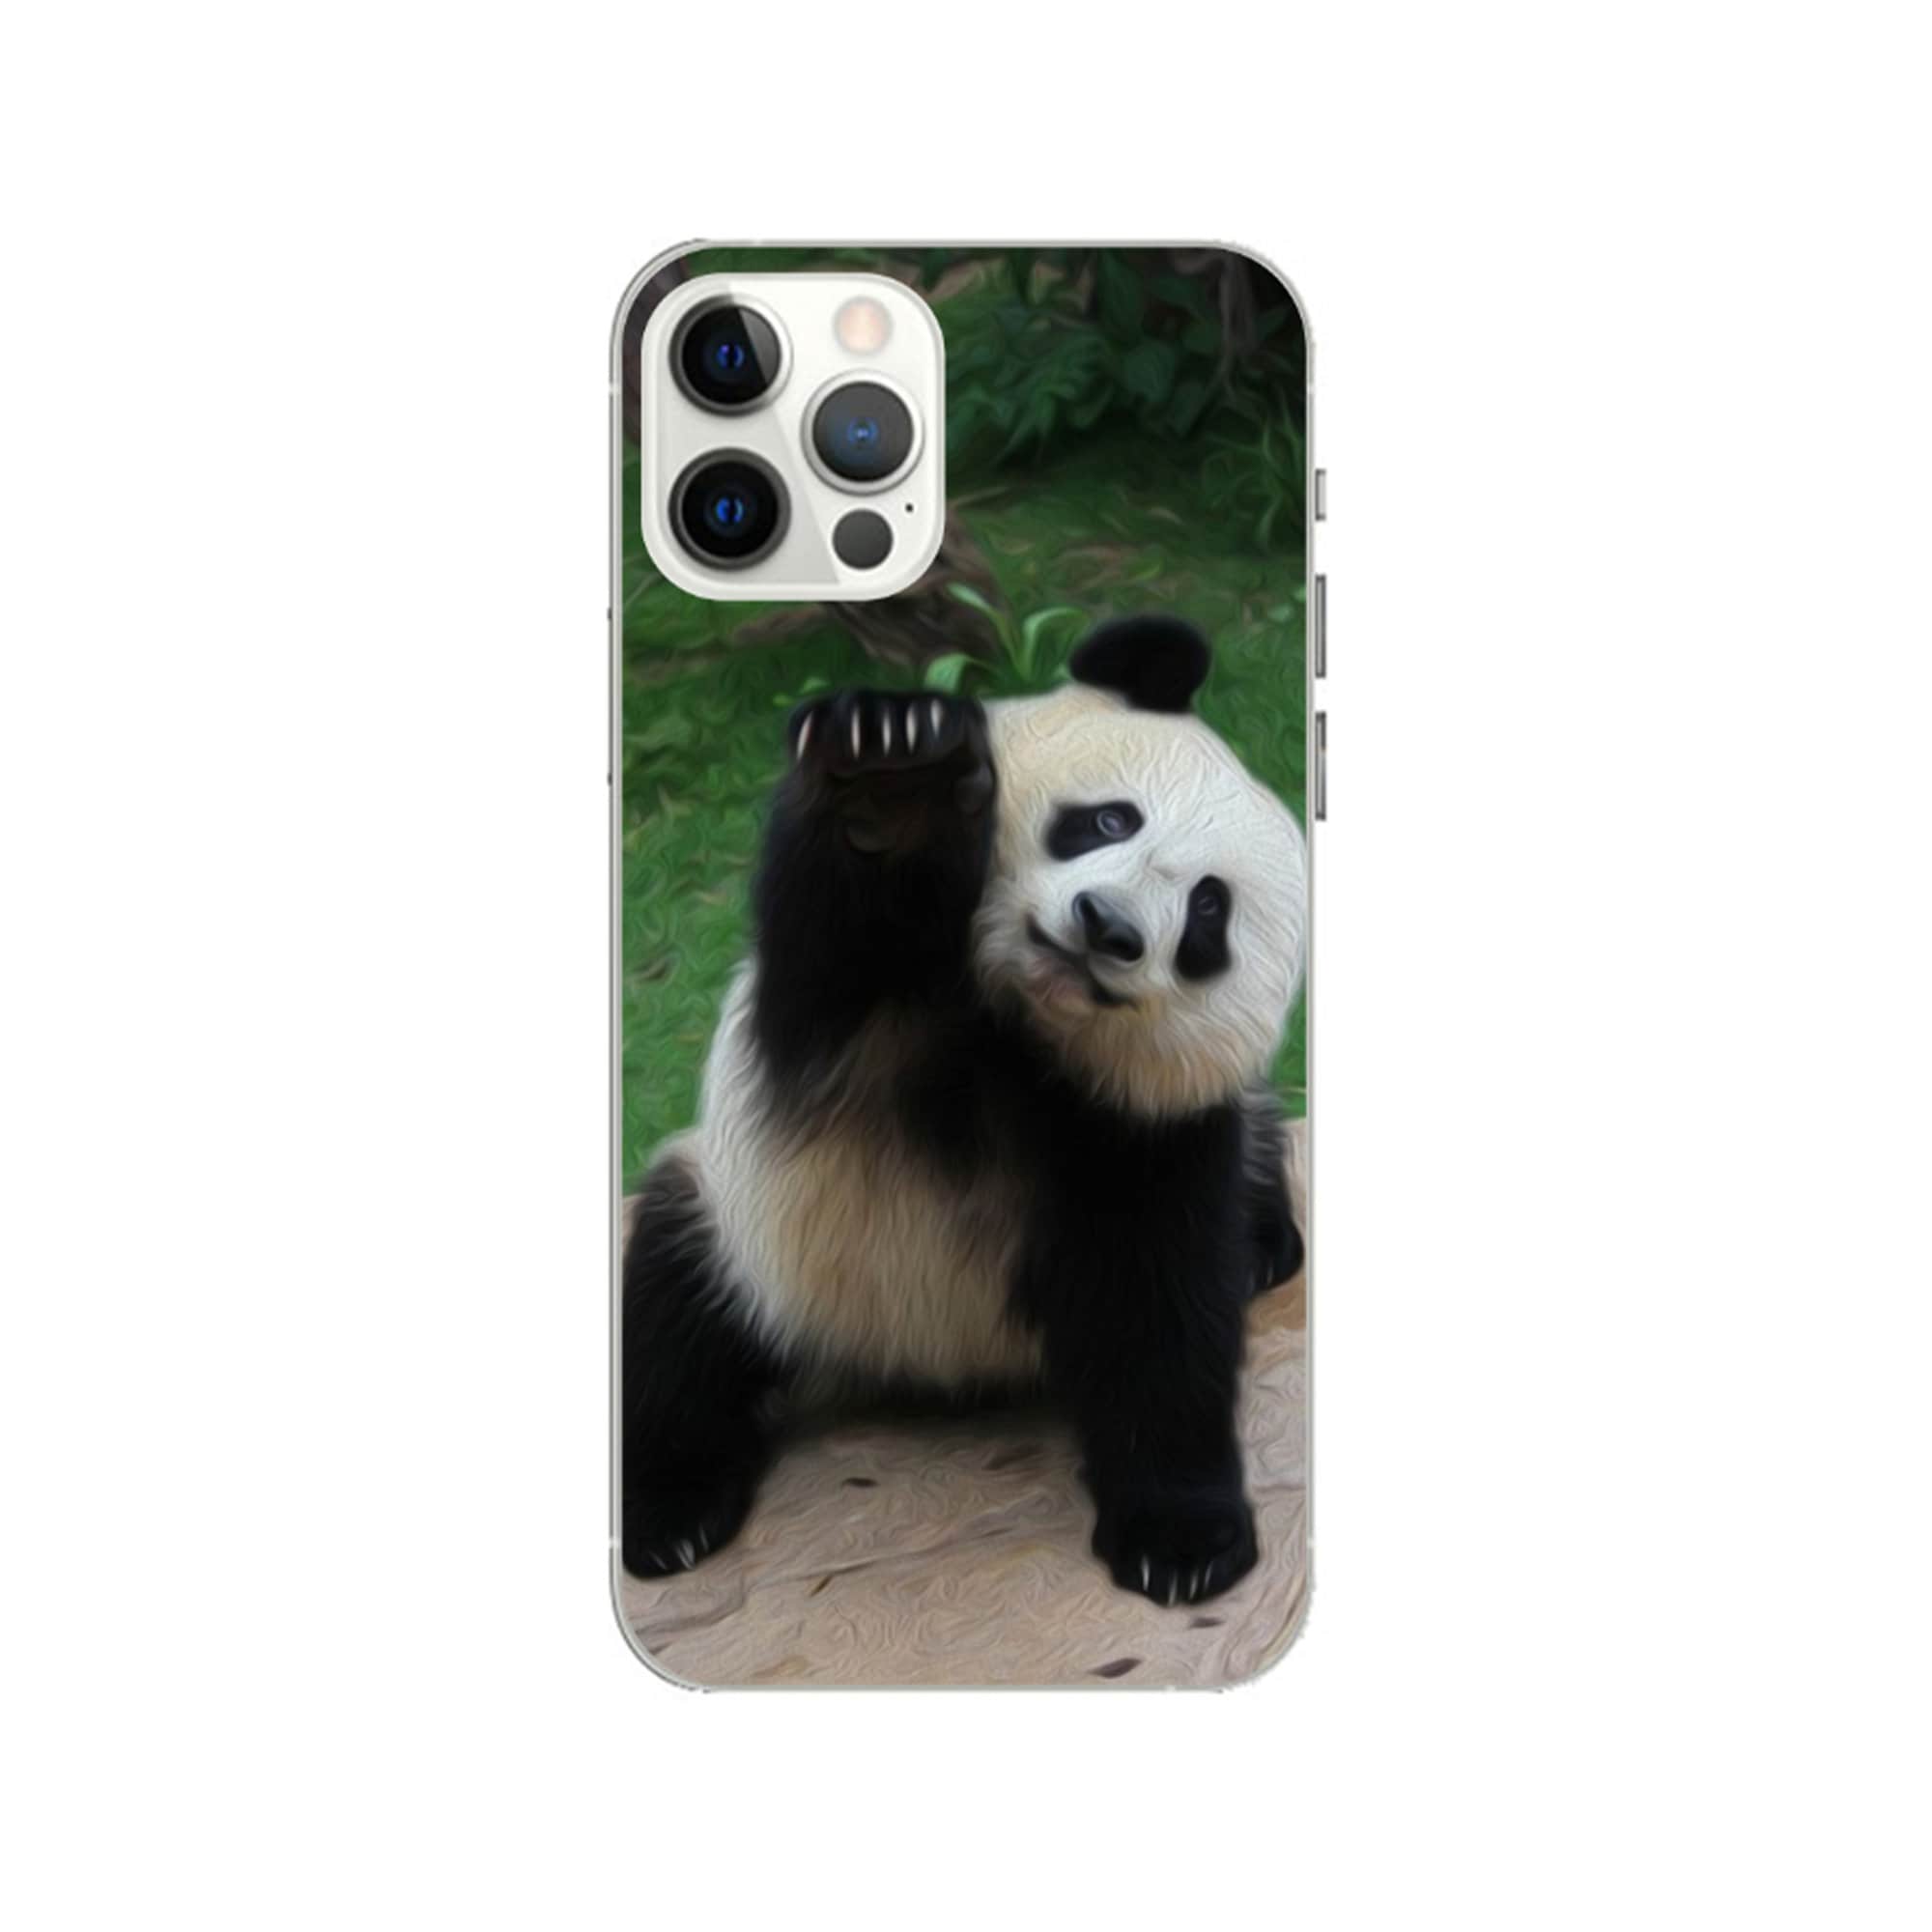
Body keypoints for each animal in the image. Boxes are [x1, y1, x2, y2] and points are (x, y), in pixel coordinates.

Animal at [622, 614, 1307, 1606]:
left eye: (1208, 912)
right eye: (1109, 819)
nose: (1106, 927)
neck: (1018, 1033)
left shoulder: (1151, 1128)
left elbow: (1163, 1304)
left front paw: (1182, 1542)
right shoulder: (839, 1023)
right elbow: (833, 931)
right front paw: (893, 782)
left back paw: (1266, 1244)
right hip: (743, 1227)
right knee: (674, 1322)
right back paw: (670, 1515)